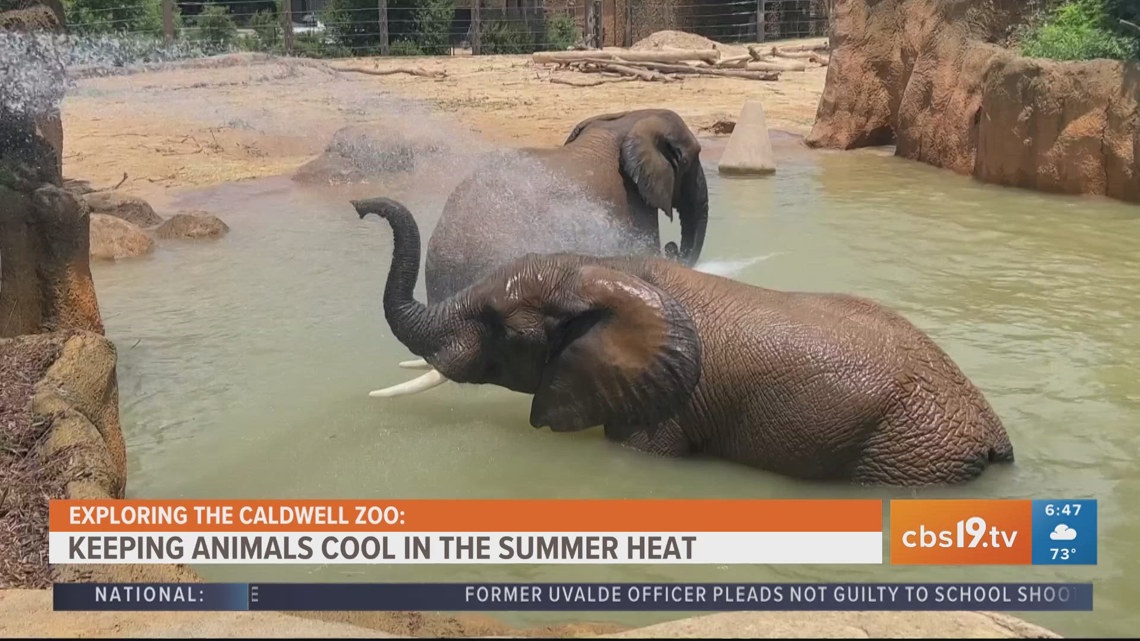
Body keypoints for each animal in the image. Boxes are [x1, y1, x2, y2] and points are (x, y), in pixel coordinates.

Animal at [354, 197, 1016, 485]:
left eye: (500, 326)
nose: (361, 207)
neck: (608, 269)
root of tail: (994, 433)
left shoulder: (662, 406)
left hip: (904, 456)